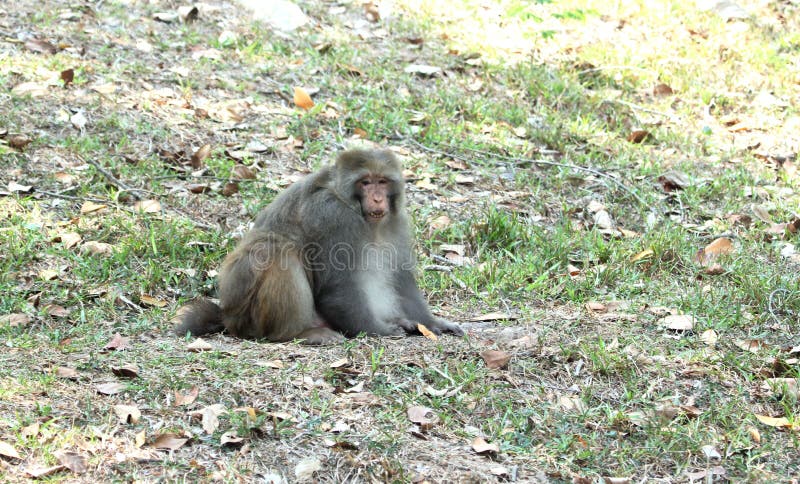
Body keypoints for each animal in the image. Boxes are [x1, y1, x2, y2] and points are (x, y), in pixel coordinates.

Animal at [174, 148, 464, 344]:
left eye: (382, 181)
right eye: (366, 182)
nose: (377, 199)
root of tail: (227, 315)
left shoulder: (397, 220)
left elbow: (401, 279)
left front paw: (431, 323)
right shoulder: (334, 216)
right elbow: (338, 285)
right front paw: (377, 330)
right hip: (247, 315)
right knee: (277, 251)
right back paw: (301, 332)